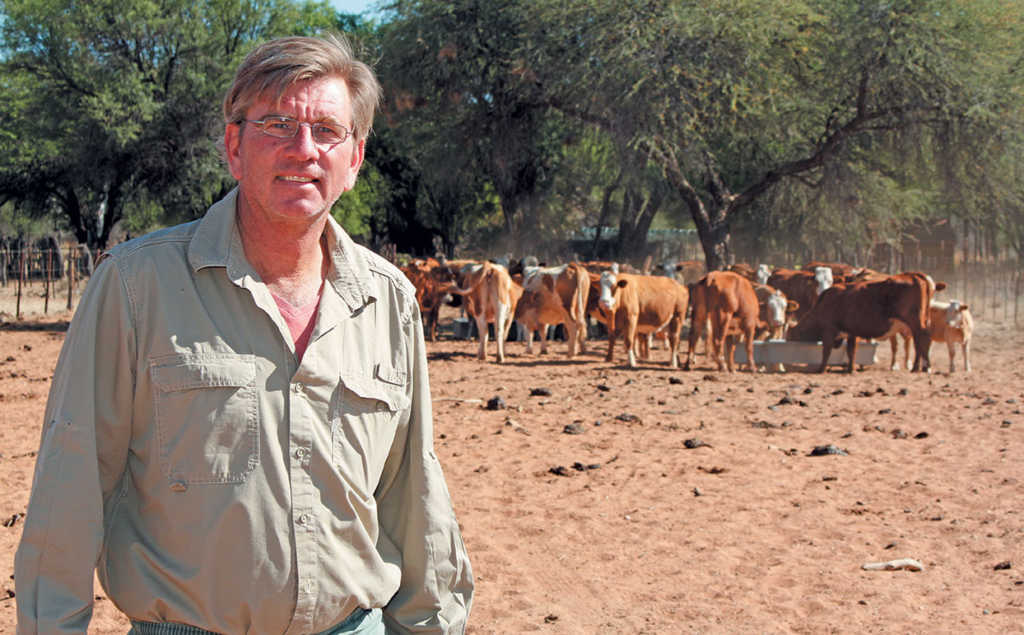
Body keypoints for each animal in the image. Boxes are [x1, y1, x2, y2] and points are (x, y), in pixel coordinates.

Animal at [787, 272, 944, 373]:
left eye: (790, 336)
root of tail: (914, 275)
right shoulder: (851, 332)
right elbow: (851, 350)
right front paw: (851, 369)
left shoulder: (829, 329)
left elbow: (827, 350)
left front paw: (821, 369)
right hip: (923, 320)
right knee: (924, 340)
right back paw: (924, 366)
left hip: (914, 322)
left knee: (920, 339)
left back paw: (918, 367)